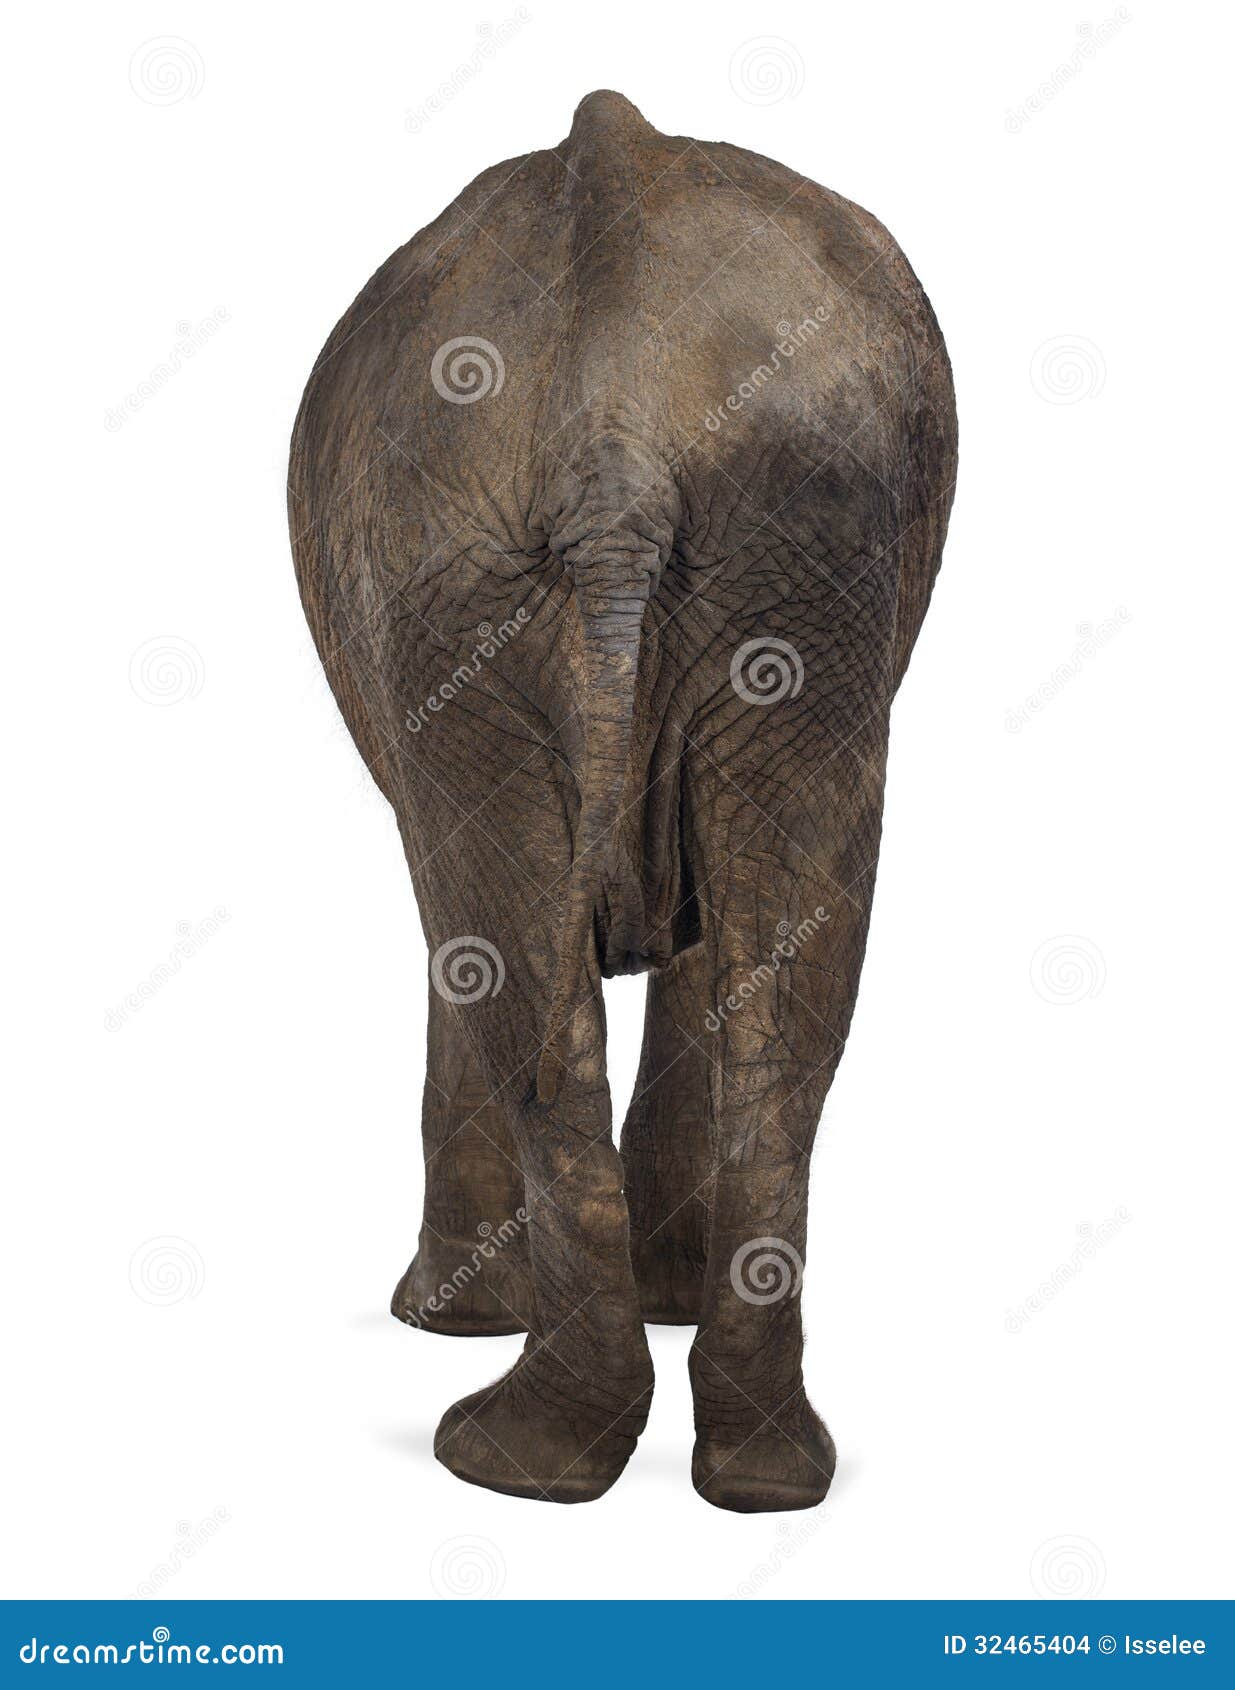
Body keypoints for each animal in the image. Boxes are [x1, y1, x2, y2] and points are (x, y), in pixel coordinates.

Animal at [288, 89, 957, 1512]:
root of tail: (613, 441)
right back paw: (718, 1469)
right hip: (732, 555)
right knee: (736, 987)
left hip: (616, 555)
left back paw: (518, 1454)